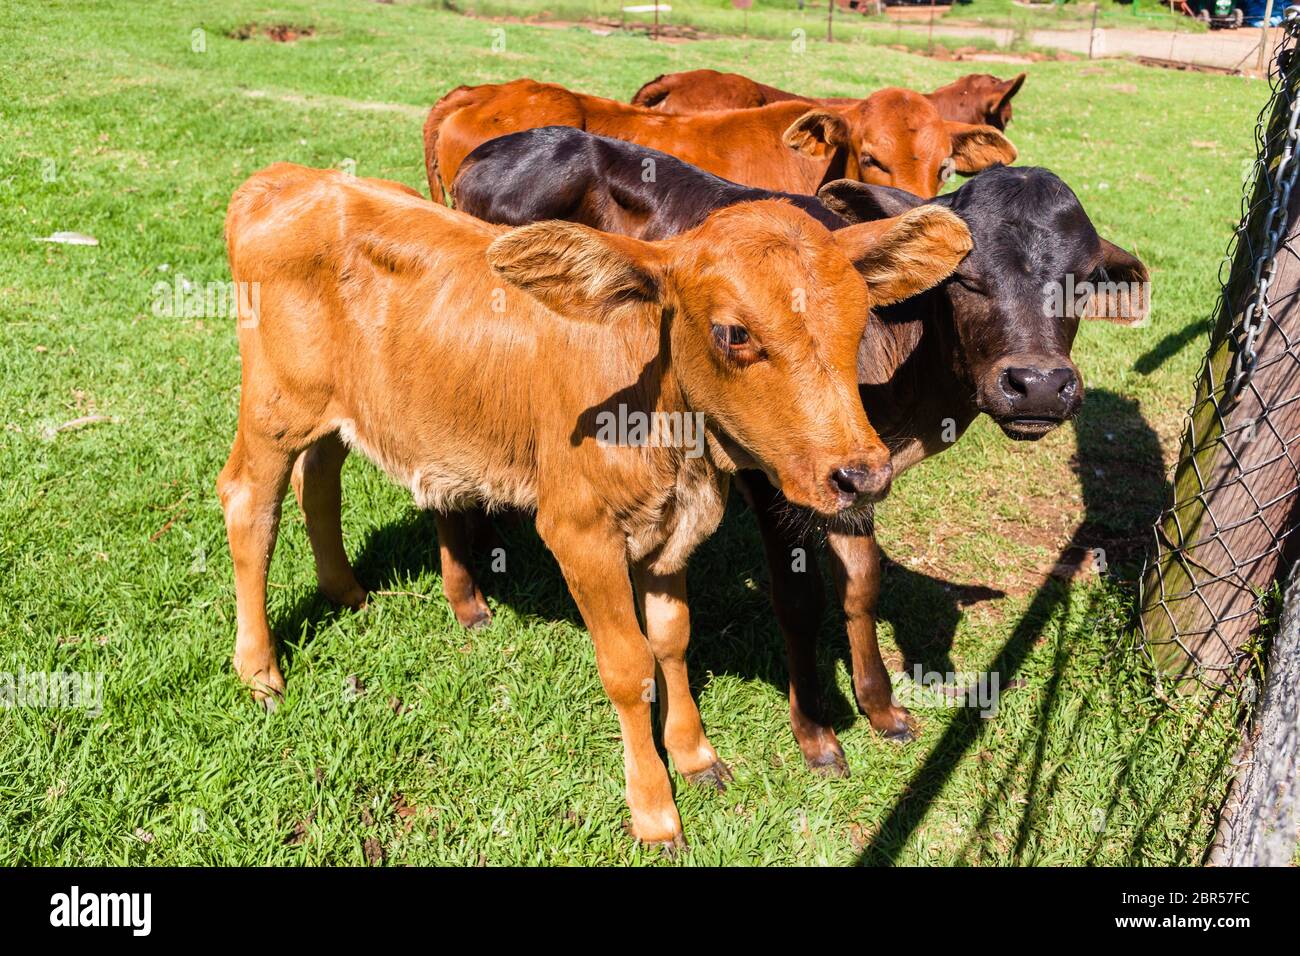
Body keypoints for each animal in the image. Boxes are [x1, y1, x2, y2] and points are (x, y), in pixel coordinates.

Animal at [218, 162, 973, 845]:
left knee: (319, 479)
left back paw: (345, 591)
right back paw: (260, 670)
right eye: (734, 333)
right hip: (273, 406)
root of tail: (284, 180)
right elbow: (628, 666)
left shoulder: (671, 531)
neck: (673, 436)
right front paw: (654, 809)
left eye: (860, 318)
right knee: (250, 503)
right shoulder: (579, 530)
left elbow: (672, 639)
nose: (861, 474)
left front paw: (694, 754)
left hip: (335, 410)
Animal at [445, 127, 1150, 773]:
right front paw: (815, 731)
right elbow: (797, 598)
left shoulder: (861, 470)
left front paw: (881, 706)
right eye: (967, 279)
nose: (1038, 384)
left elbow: (862, 581)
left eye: (1083, 281)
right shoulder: (770, 473)